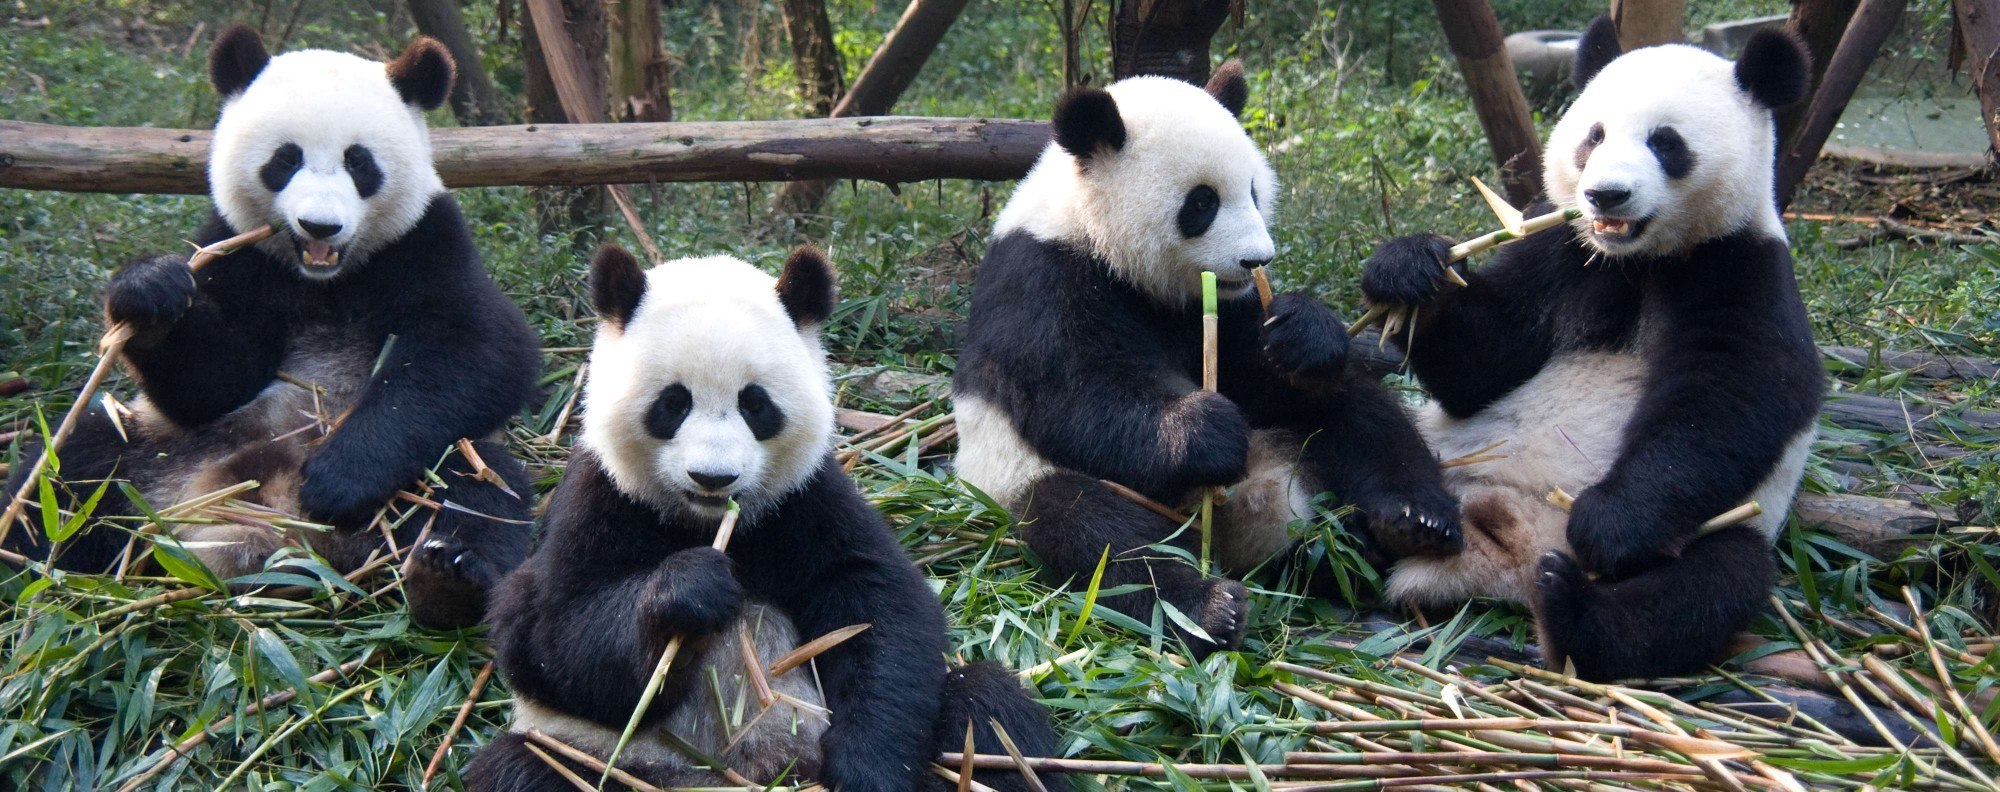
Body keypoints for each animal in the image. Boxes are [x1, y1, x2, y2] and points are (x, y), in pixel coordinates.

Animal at [0, 26, 539, 630]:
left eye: (360, 163)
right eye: (285, 159)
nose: (319, 226)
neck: (324, 279)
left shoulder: (426, 241)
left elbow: (481, 352)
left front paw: (338, 478)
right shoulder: (237, 253)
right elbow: (215, 382)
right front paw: (151, 293)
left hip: (426, 476)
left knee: (478, 487)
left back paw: (445, 578)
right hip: (160, 453)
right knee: (68, 473)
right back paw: (27, 565)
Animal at [467, 246, 1062, 792]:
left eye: (755, 404)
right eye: (672, 404)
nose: (713, 478)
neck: (705, 522)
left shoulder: (806, 498)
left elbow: (878, 605)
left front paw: (869, 769)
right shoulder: (600, 498)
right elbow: (547, 634)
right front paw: (691, 590)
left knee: (989, 712)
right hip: (605, 757)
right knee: (524, 769)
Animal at [953, 63, 1462, 658]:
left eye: (1255, 192)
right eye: (1202, 203)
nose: (1256, 259)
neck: (1092, 231)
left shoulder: (1222, 308)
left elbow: (1263, 373)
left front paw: (1304, 333)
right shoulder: (1041, 279)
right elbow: (1074, 392)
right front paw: (1206, 431)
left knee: (1360, 415)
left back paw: (1408, 523)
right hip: (1020, 477)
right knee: (1094, 530)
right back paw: (1208, 606)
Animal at [1359, 17, 1824, 680]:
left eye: (1666, 143)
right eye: (1594, 136)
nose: (1606, 195)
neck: (1638, 259)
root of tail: (1505, 555)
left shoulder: (1741, 266)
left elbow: (1732, 398)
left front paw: (1608, 522)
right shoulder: (1564, 251)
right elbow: (1485, 366)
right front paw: (1412, 269)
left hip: (1719, 527)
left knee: (1709, 583)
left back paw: (1570, 607)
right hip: (1447, 462)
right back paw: (1407, 521)